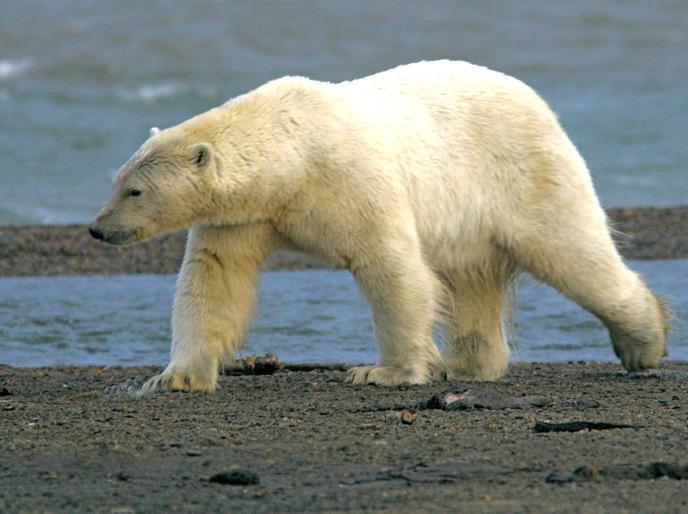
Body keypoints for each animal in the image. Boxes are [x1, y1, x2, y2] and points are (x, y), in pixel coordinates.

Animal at [88, 62, 668, 394]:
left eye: (134, 191)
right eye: (115, 181)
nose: (97, 229)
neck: (293, 156)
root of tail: (538, 101)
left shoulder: (349, 178)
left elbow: (390, 266)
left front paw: (383, 372)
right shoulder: (246, 214)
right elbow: (214, 277)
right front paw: (173, 377)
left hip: (523, 175)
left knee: (574, 253)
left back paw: (644, 343)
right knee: (470, 284)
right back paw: (467, 365)